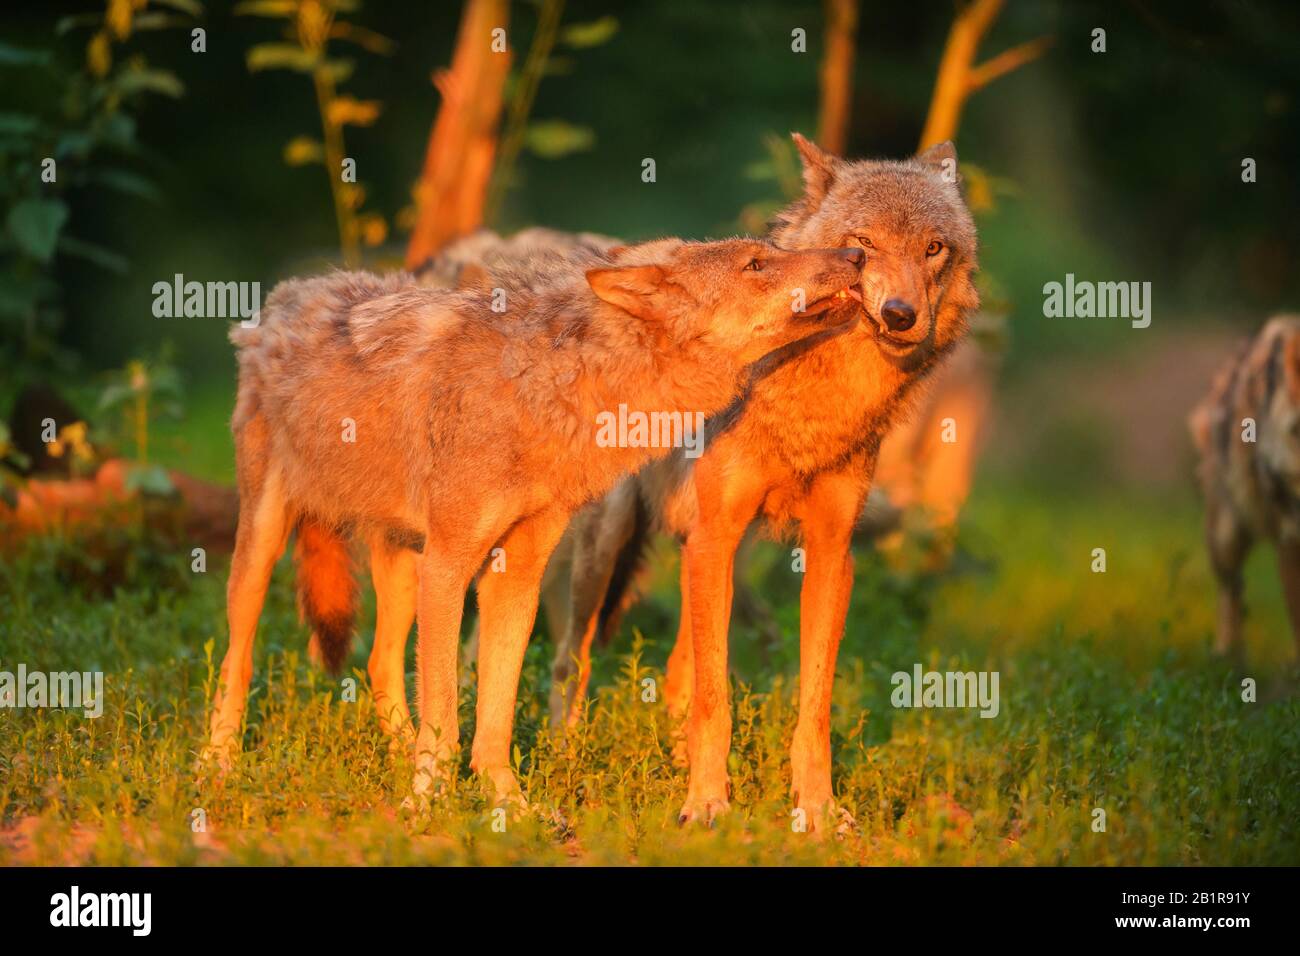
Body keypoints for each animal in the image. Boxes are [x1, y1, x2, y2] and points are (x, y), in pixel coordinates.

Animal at [205, 237, 865, 802]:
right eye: (756, 264)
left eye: (772, 251)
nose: (856, 254)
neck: (545, 388)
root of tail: (288, 292)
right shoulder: (450, 565)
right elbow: (445, 711)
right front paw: (428, 807)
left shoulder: (516, 571)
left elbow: (493, 714)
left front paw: (508, 805)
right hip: (265, 546)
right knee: (238, 657)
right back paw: (218, 767)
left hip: (402, 563)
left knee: (377, 664)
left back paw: (392, 761)